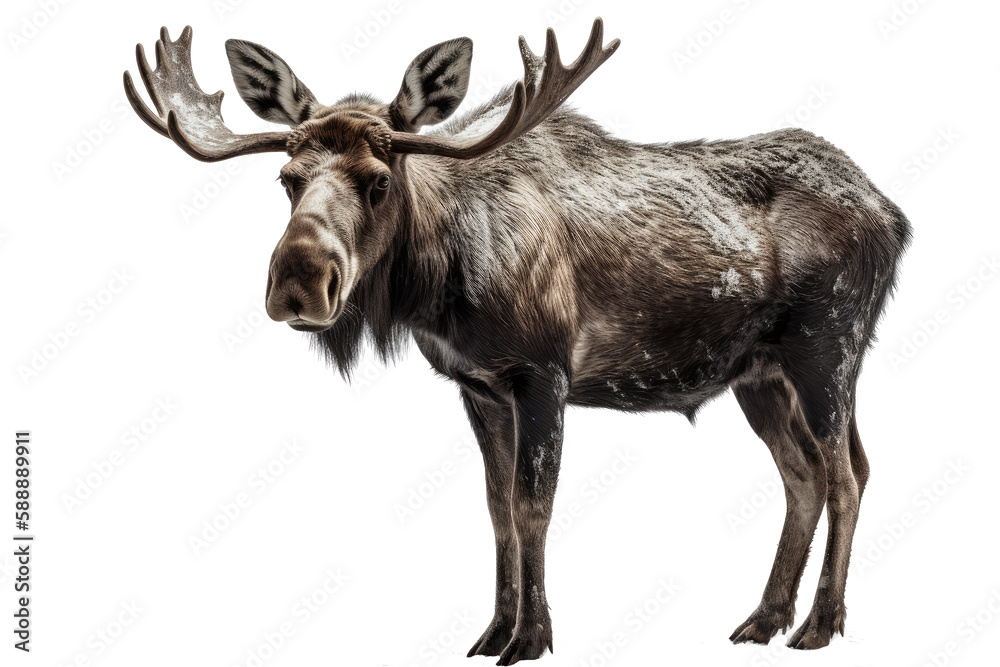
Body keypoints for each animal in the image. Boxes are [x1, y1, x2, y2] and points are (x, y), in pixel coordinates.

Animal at [123, 18, 911, 664]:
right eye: (288, 178)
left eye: (378, 181)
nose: (298, 281)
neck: (439, 283)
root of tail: (895, 216)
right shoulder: (479, 386)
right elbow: (497, 506)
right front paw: (493, 630)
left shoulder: (543, 372)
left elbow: (535, 505)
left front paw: (532, 637)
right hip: (760, 374)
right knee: (804, 474)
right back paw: (764, 618)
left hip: (827, 349)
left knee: (848, 473)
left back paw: (819, 624)